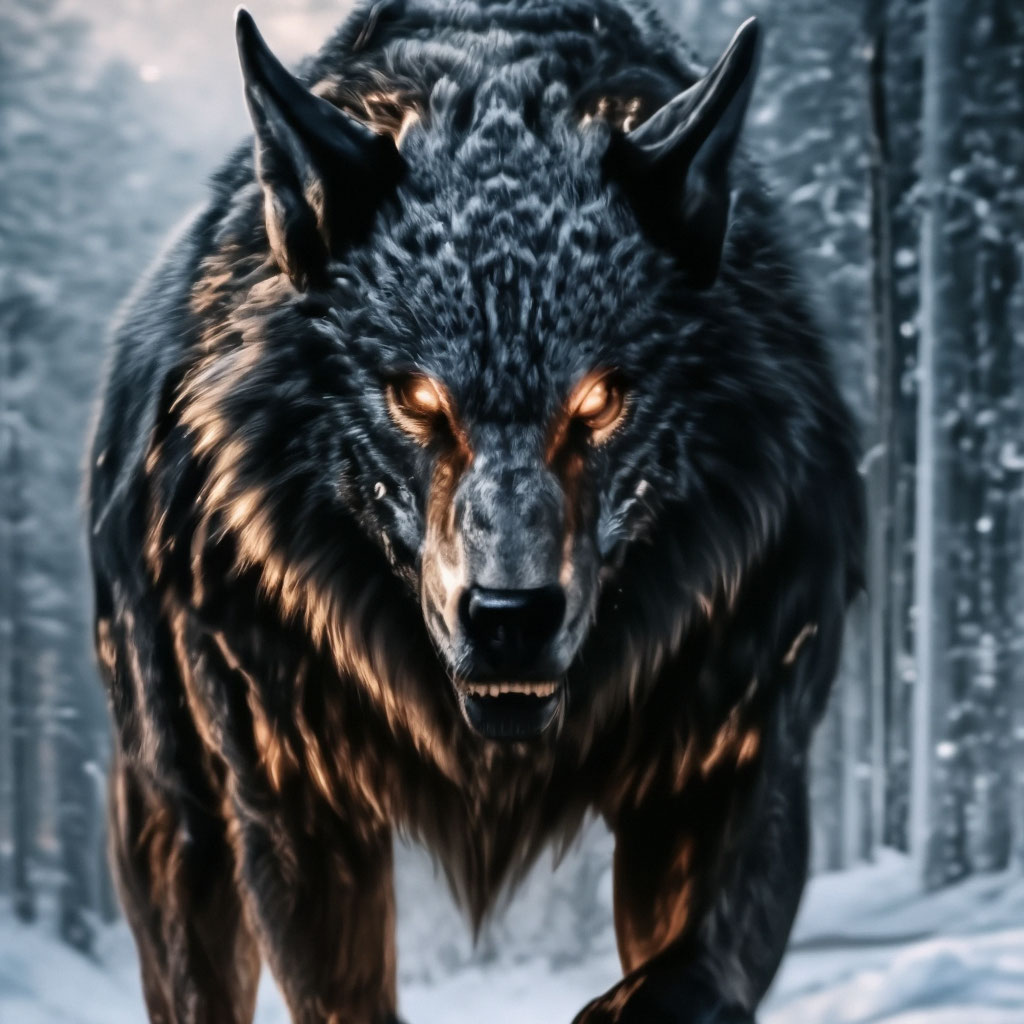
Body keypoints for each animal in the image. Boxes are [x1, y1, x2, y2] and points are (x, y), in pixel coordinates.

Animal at [87, 1, 864, 1022]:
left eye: (602, 397)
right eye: (417, 396)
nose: (509, 618)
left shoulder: (739, 762)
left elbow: (691, 966)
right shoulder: (293, 802)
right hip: (179, 823)